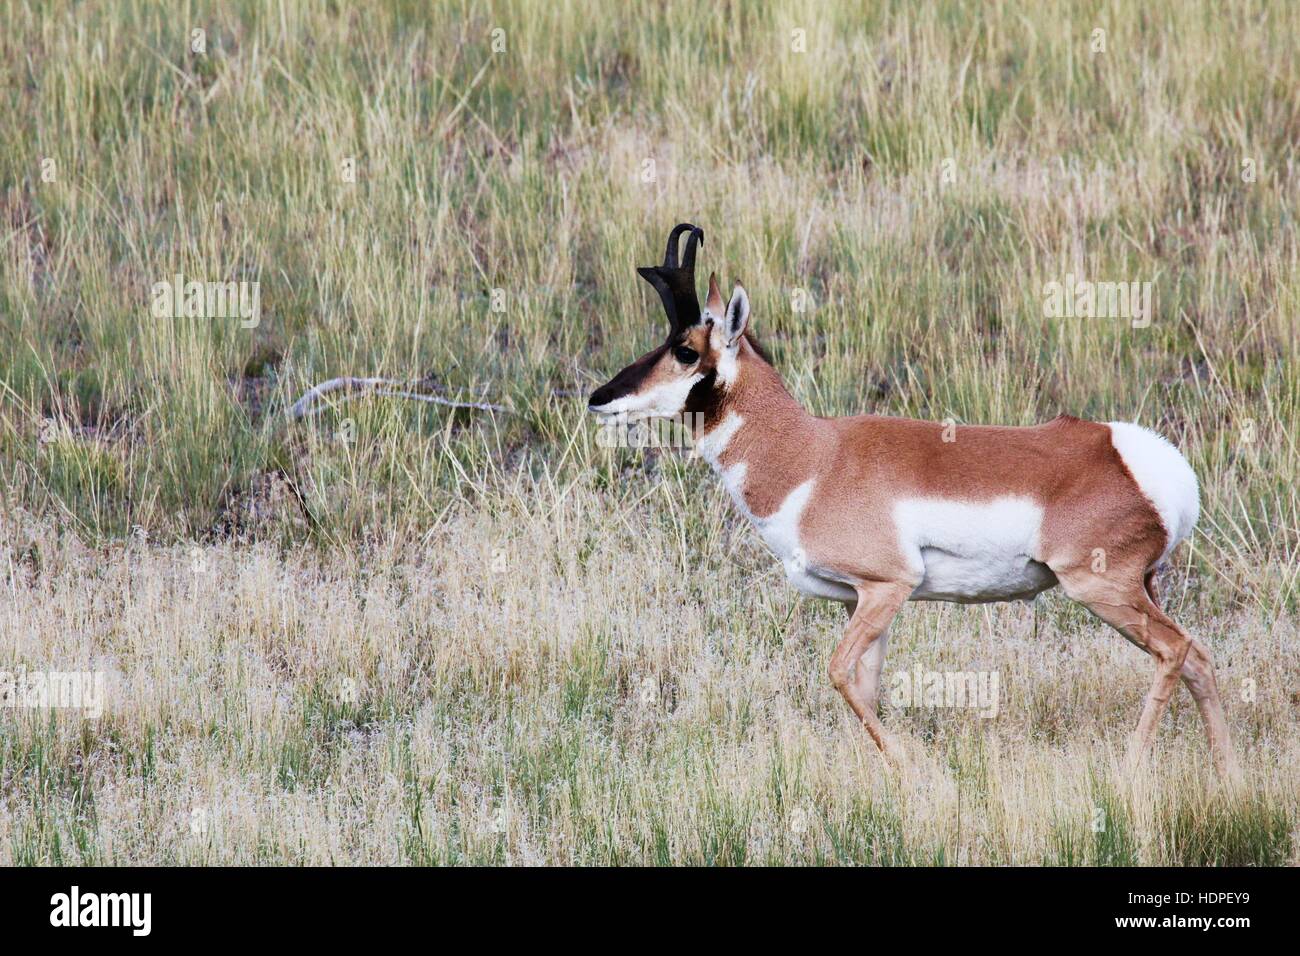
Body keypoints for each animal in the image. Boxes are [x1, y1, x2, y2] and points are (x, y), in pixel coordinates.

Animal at [588, 223, 1239, 780]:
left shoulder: (887, 587)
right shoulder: (865, 599)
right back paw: (1226, 778)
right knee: (1199, 657)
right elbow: (866, 685)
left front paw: (913, 770)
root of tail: (1141, 459)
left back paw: (1130, 771)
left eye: (685, 349)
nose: (599, 397)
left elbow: (838, 673)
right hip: (1138, 589)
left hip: (1100, 588)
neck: (814, 457)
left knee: (1177, 651)